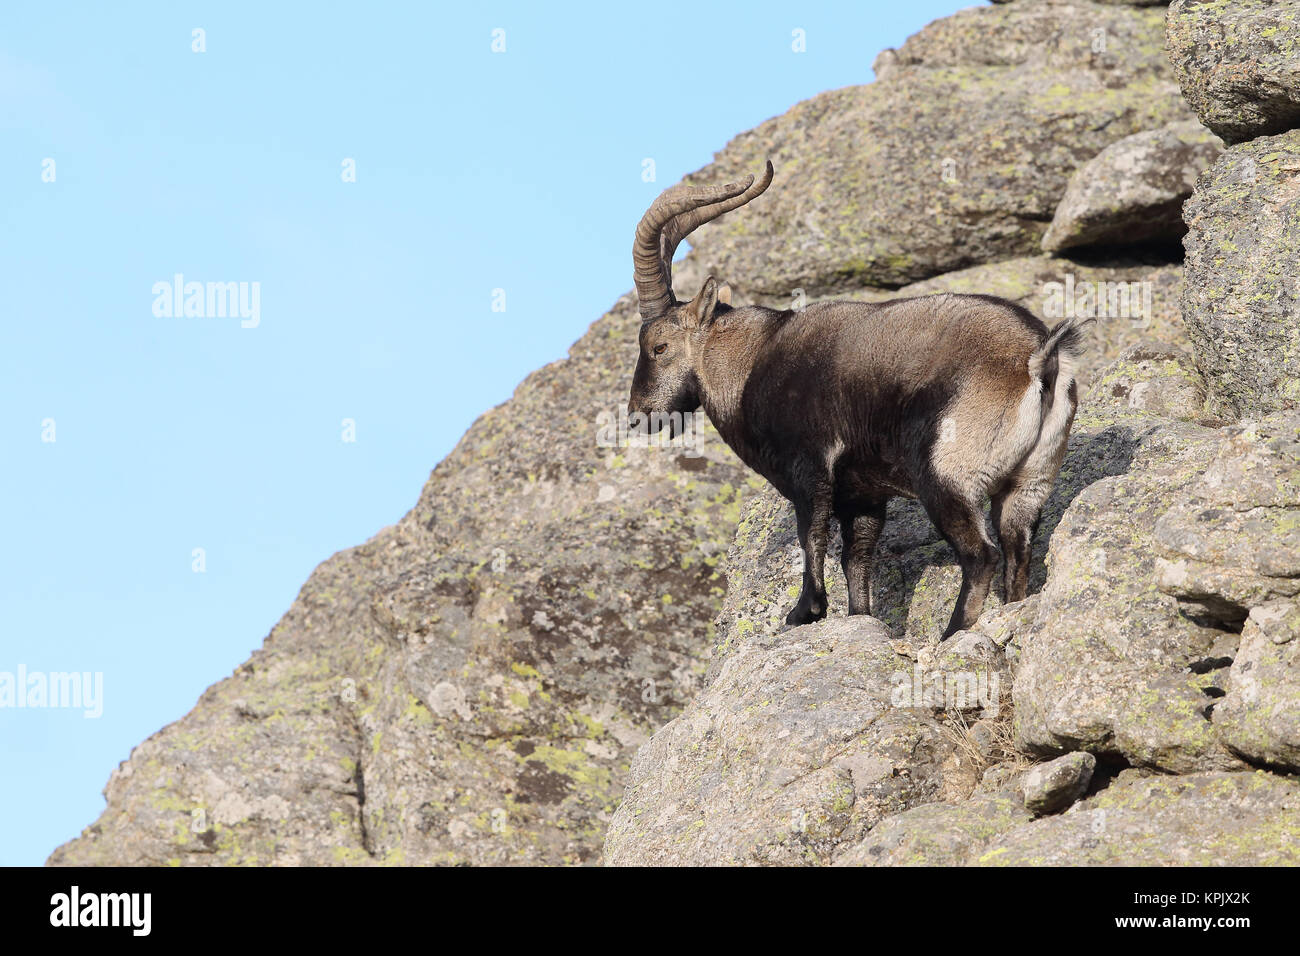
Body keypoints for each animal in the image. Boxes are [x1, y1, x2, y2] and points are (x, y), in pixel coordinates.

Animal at [627, 161, 1089, 639]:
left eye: (658, 347)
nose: (639, 414)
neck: (752, 363)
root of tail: (1037, 358)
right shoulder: (863, 494)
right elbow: (857, 558)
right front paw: (858, 615)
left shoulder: (811, 466)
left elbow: (811, 534)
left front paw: (805, 611)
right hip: (1029, 482)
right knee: (1017, 553)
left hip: (946, 476)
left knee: (981, 555)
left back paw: (950, 634)